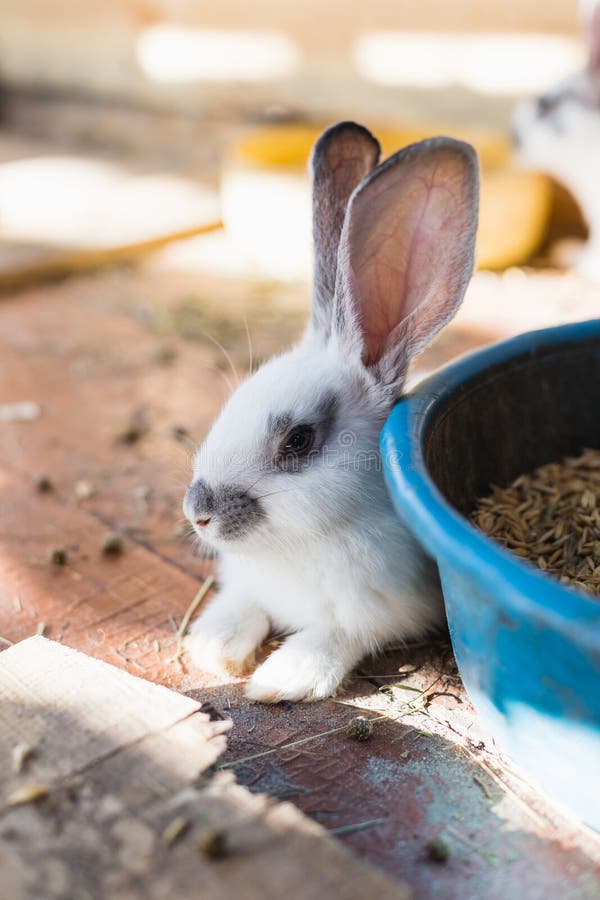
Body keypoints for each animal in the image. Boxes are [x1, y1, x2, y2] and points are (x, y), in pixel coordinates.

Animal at [182, 122, 479, 702]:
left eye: (297, 440)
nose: (197, 513)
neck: (296, 545)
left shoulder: (374, 612)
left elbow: (334, 636)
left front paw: (280, 680)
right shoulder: (248, 586)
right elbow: (243, 605)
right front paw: (213, 647)